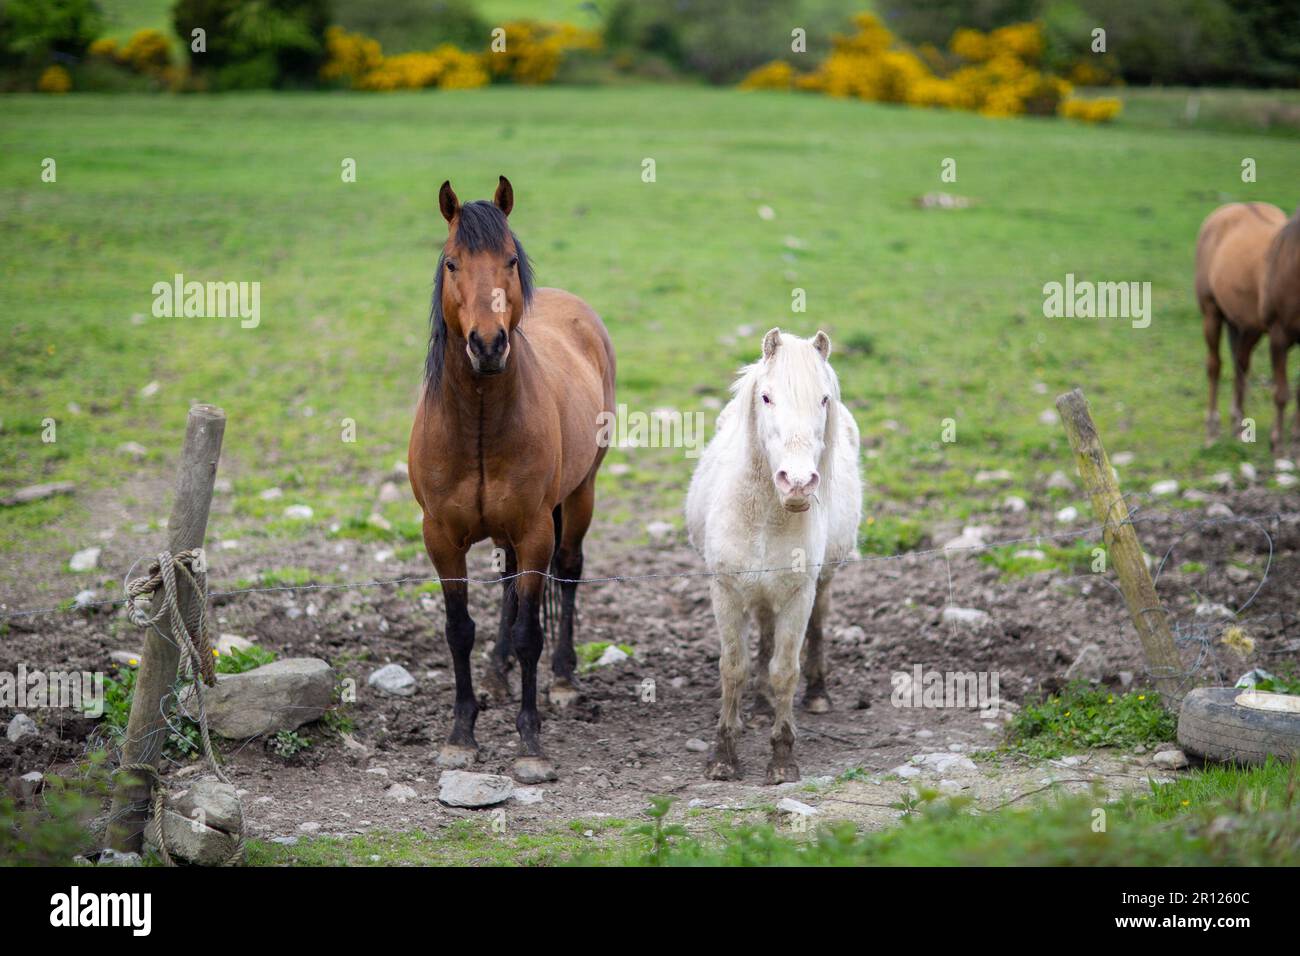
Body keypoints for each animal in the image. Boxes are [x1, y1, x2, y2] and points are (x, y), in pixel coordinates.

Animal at [408, 176, 616, 784]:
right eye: (452, 262)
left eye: (509, 261)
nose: (487, 344)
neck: (478, 421)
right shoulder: (440, 538)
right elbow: (459, 629)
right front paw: (461, 734)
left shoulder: (533, 531)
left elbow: (531, 632)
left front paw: (530, 745)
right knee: (505, 586)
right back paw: (496, 674)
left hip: (580, 496)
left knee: (568, 573)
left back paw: (565, 679)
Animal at [685, 329, 862, 784]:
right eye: (766, 397)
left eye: (824, 399)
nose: (797, 483)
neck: (766, 514)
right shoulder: (726, 591)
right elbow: (734, 668)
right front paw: (723, 756)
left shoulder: (799, 593)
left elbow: (785, 670)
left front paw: (783, 759)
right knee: (763, 632)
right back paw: (761, 706)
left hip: (822, 582)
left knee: (816, 626)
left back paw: (817, 694)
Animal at [1194, 201, 1300, 452]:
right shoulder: (1279, 336)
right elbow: (1281, 394)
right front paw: (1278, 444)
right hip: (1211, 312)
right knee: (1215, 366)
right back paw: (1213, 430)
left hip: (1249, 326)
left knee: (1241, 364)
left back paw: (1238, 425)